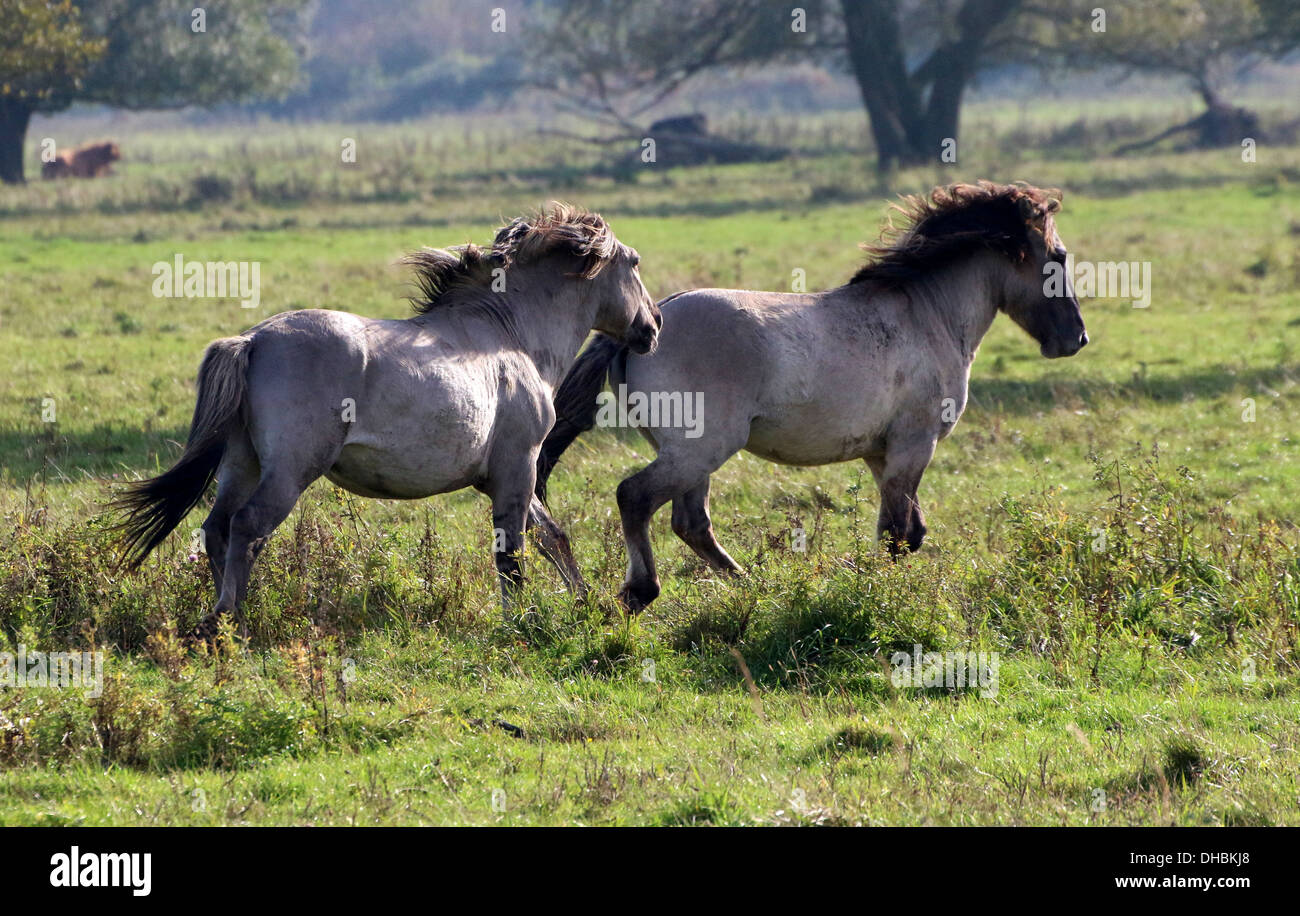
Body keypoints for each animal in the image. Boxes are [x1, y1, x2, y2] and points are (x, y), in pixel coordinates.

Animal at [113, 204, 661, 641]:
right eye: (634, 263)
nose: (652, 326)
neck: (510, 336)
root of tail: (251, 341)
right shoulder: (518, 466)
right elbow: (512, 555)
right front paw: (520, 622)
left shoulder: (505, 477)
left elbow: (552, 537)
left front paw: (585, 604)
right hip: (289, 471)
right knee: (247, 528)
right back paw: (230, 622)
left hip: (241, 463)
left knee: (216, 528)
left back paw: (222, 621)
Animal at [536, 182, 1087, 611]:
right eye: (1057, 258)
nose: (1075, 339)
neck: (927, 314)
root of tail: (646, 325)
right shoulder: (915, 445)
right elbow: (900, 534)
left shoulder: (882, 454)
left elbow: (903, 531)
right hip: (699, 449)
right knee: (636, 498)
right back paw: (641, 592)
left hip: (689, 454)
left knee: (690, 523)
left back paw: (753, 589)